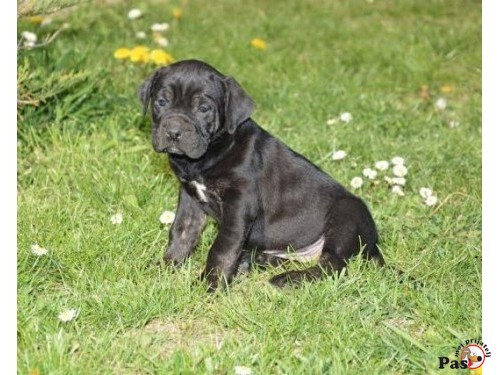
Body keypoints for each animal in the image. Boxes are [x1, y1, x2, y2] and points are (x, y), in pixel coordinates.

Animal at [137, 60, 382, 292]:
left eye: (204, 108)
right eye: (161, 102)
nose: (173, 132)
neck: (210, 152)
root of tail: (374, 244)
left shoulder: (239, 204)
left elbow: (222, 248)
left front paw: (212, 285)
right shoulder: (190, 200)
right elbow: (181, 232)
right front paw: (166, 267)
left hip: (346, 214)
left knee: (333, 265)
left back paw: (287, 279)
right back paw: (253, 261)